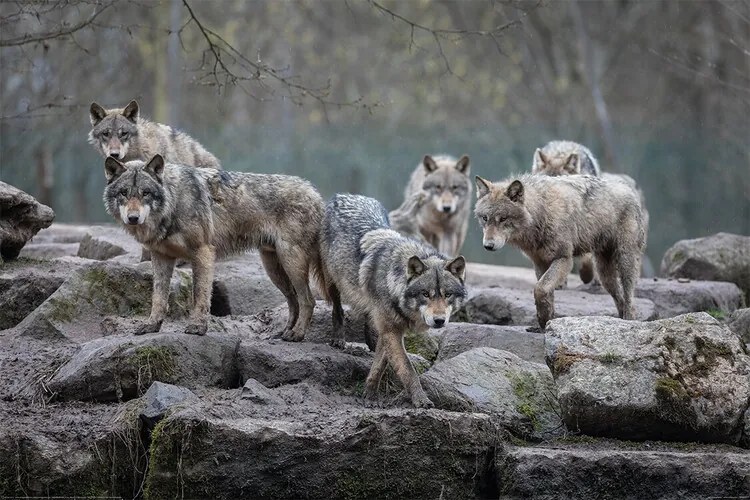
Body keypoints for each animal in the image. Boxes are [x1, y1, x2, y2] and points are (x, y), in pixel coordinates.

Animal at [101, 154, 324, 338]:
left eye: (145, 193)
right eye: (124, 193)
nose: (133, 218)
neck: (174, 202)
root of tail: (315, 193)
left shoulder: (203, 252)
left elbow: (200, 294)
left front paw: (198, 327)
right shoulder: (161, 257)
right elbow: (158, 297)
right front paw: (152, 325)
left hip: (291, 262)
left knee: (308, 300)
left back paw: (297, 335)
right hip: (273, 268)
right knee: (294, 300)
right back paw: (284, 332)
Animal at [320, 193, 468, 408]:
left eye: (447, 294)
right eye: (426, 294)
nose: (439, 320)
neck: (393, 281)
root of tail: (345, 195)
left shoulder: (390, 330)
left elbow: (380, 365)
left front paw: (370, 395)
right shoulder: (392, 331)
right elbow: (407, 369)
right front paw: (421, 400)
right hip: (332, 281)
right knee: (337, 308)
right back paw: (339, 338)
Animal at [476, 174, 648, 330]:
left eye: (503, 219)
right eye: (485, 218)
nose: (488, 245)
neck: (542, 212)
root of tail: (629, 188)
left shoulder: (564, 259)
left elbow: (540, 288)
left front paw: (544, 319)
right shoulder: (540, 263)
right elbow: (546, 291)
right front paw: (546, 321)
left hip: (625, 261)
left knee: (629, 296)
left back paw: (629, 320)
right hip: (605, 275)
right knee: (619, 297)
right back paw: (621, 319)